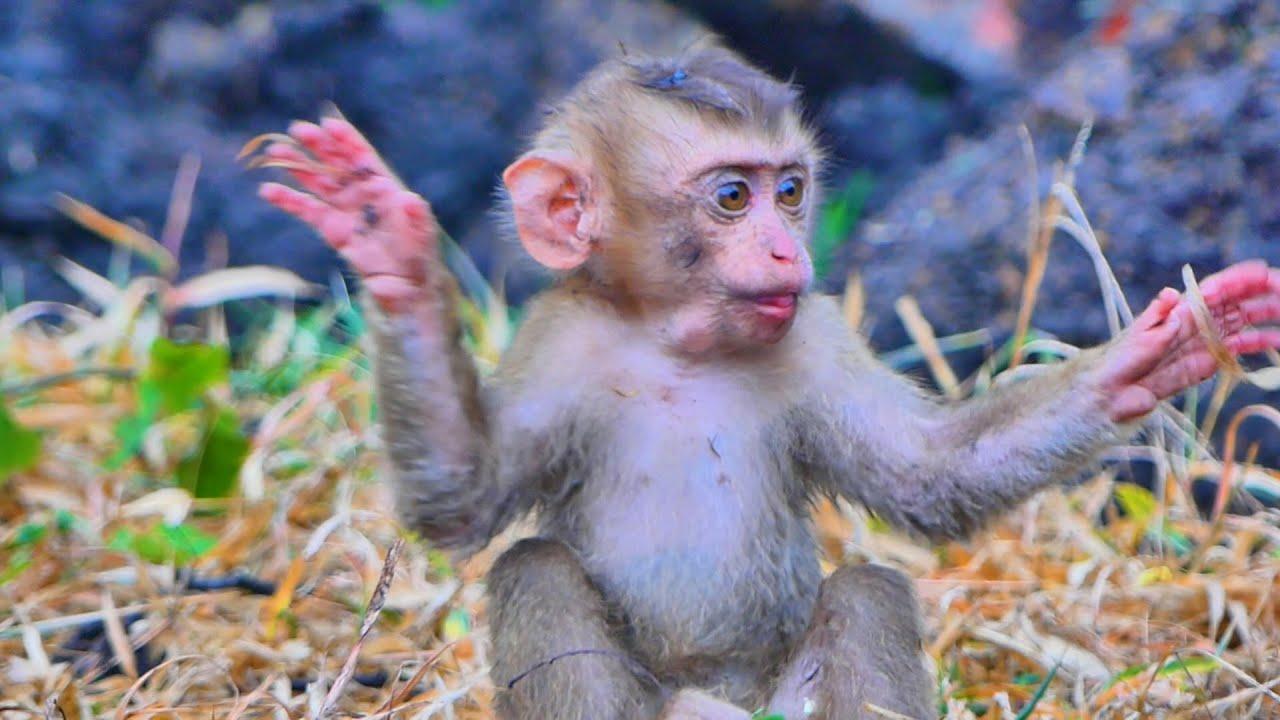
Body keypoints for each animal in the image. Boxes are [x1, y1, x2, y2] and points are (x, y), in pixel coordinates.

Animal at [252, 45, 1280, 719]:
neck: (678, 348)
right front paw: (392, 253)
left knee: (867, 591)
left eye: (790, 191)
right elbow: (462, 500)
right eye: (731, 197)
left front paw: (1157, 357)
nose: (787, 248)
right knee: (532, 566)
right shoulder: (560, 342)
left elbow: (930, 479)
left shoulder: (814, 337)